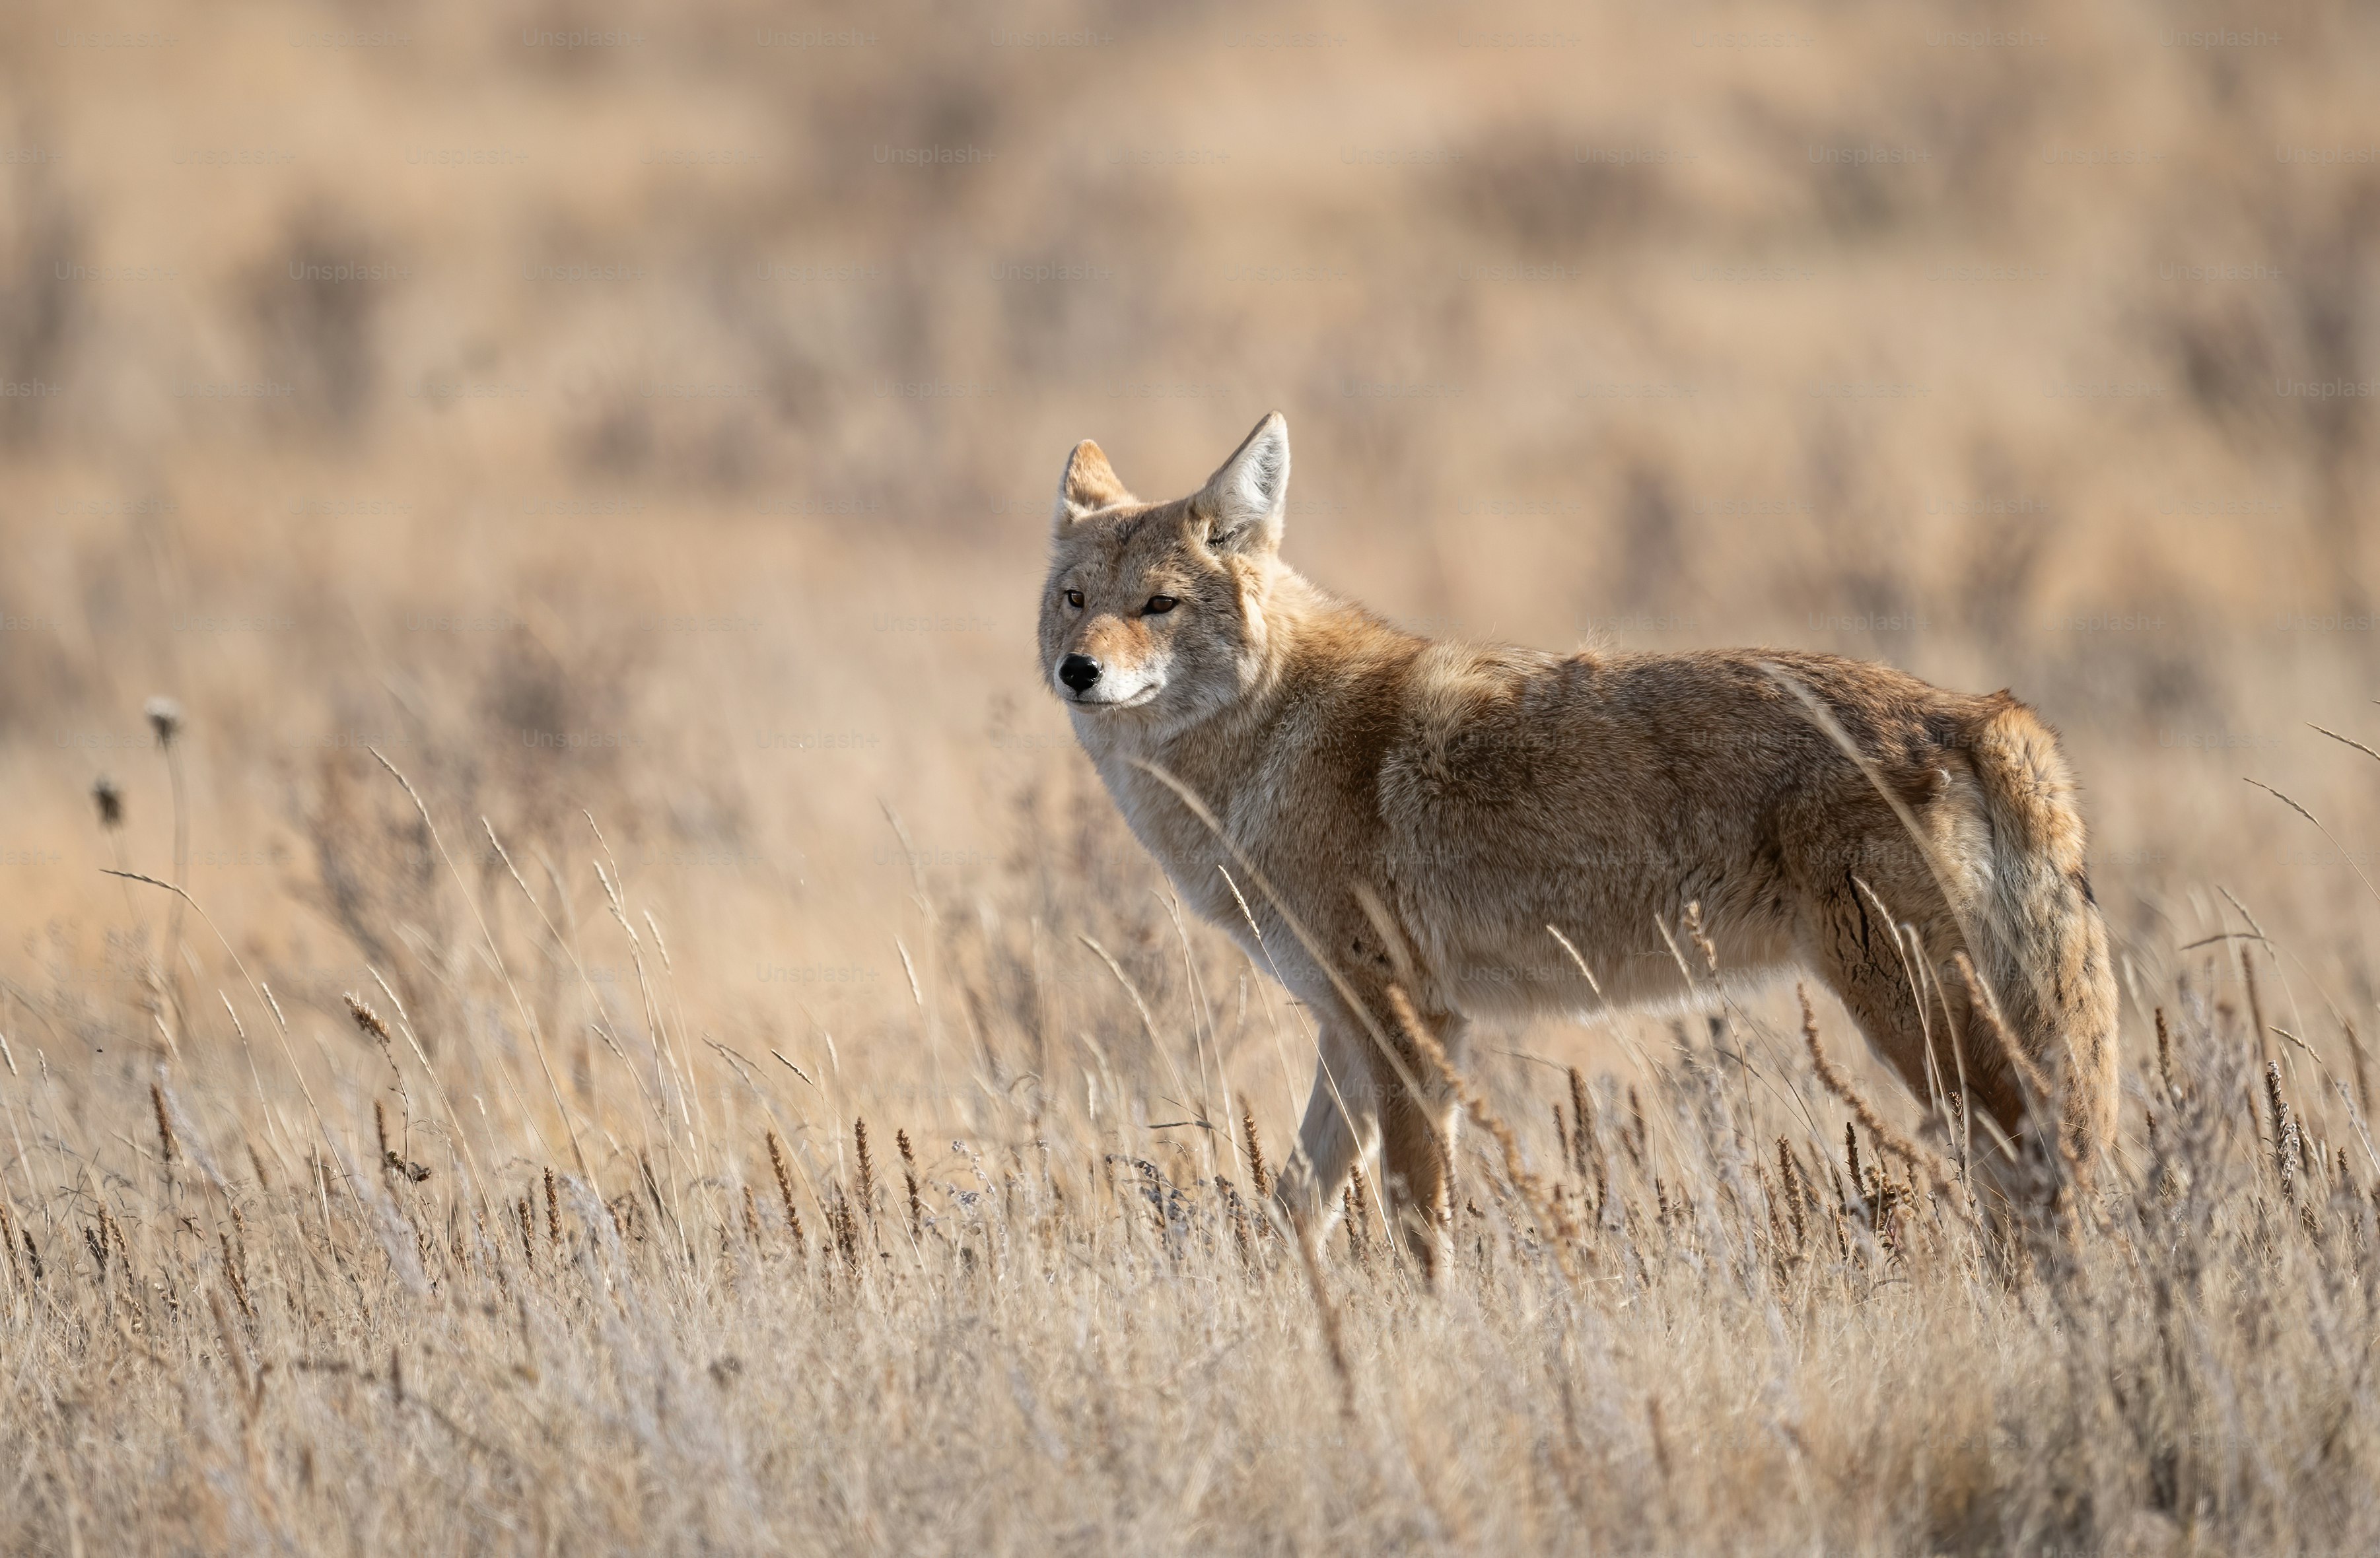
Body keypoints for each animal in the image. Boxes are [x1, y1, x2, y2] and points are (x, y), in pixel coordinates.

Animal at [1038, 411, 2119, 1262]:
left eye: (1160, 604)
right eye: (1075, 600)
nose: (1077, 672)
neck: (1266, 744)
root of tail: (1987, 714)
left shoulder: (1412, 1028)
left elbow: (1417, 1229)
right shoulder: (1350, 1029)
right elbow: (1294, 1210)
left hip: (1913, 1023)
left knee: (2043, 1175)